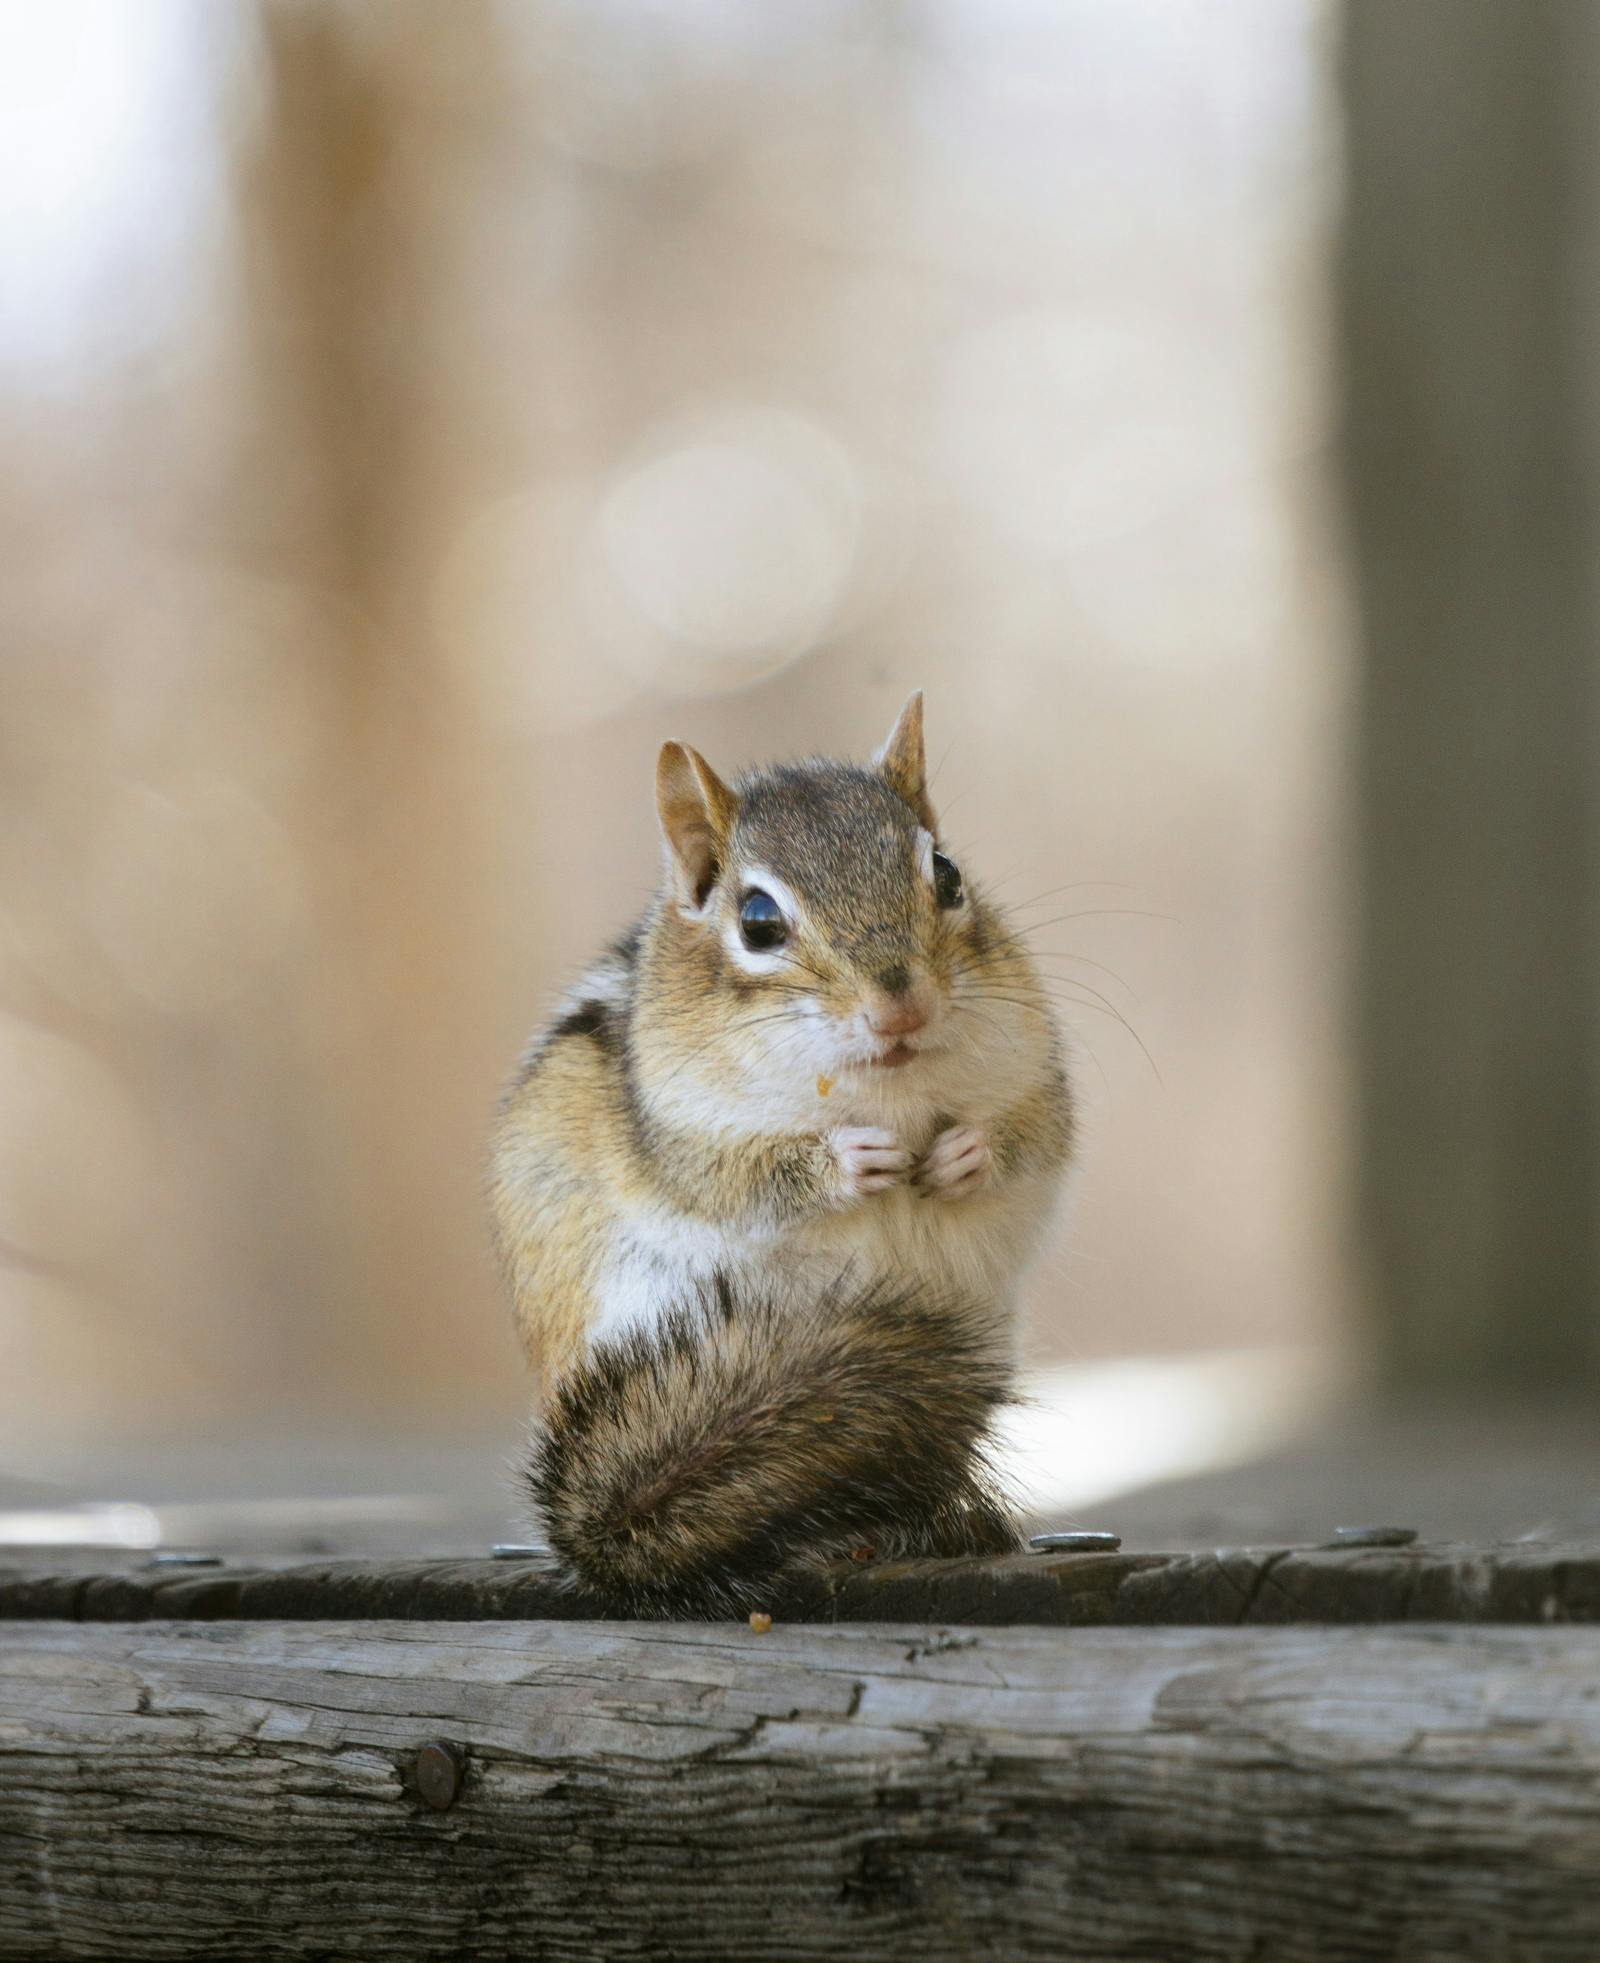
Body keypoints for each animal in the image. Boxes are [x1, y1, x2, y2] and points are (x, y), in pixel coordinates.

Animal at [488, 693, 1074, 1615]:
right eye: (758, 922)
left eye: (947, 874)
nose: (901, 1006)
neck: (886, 1089)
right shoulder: (680, 1132)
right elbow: (743, 1176)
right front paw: (850, 1162)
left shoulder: (1037, 1073)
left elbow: (1032, 1129)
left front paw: (965, 1153)